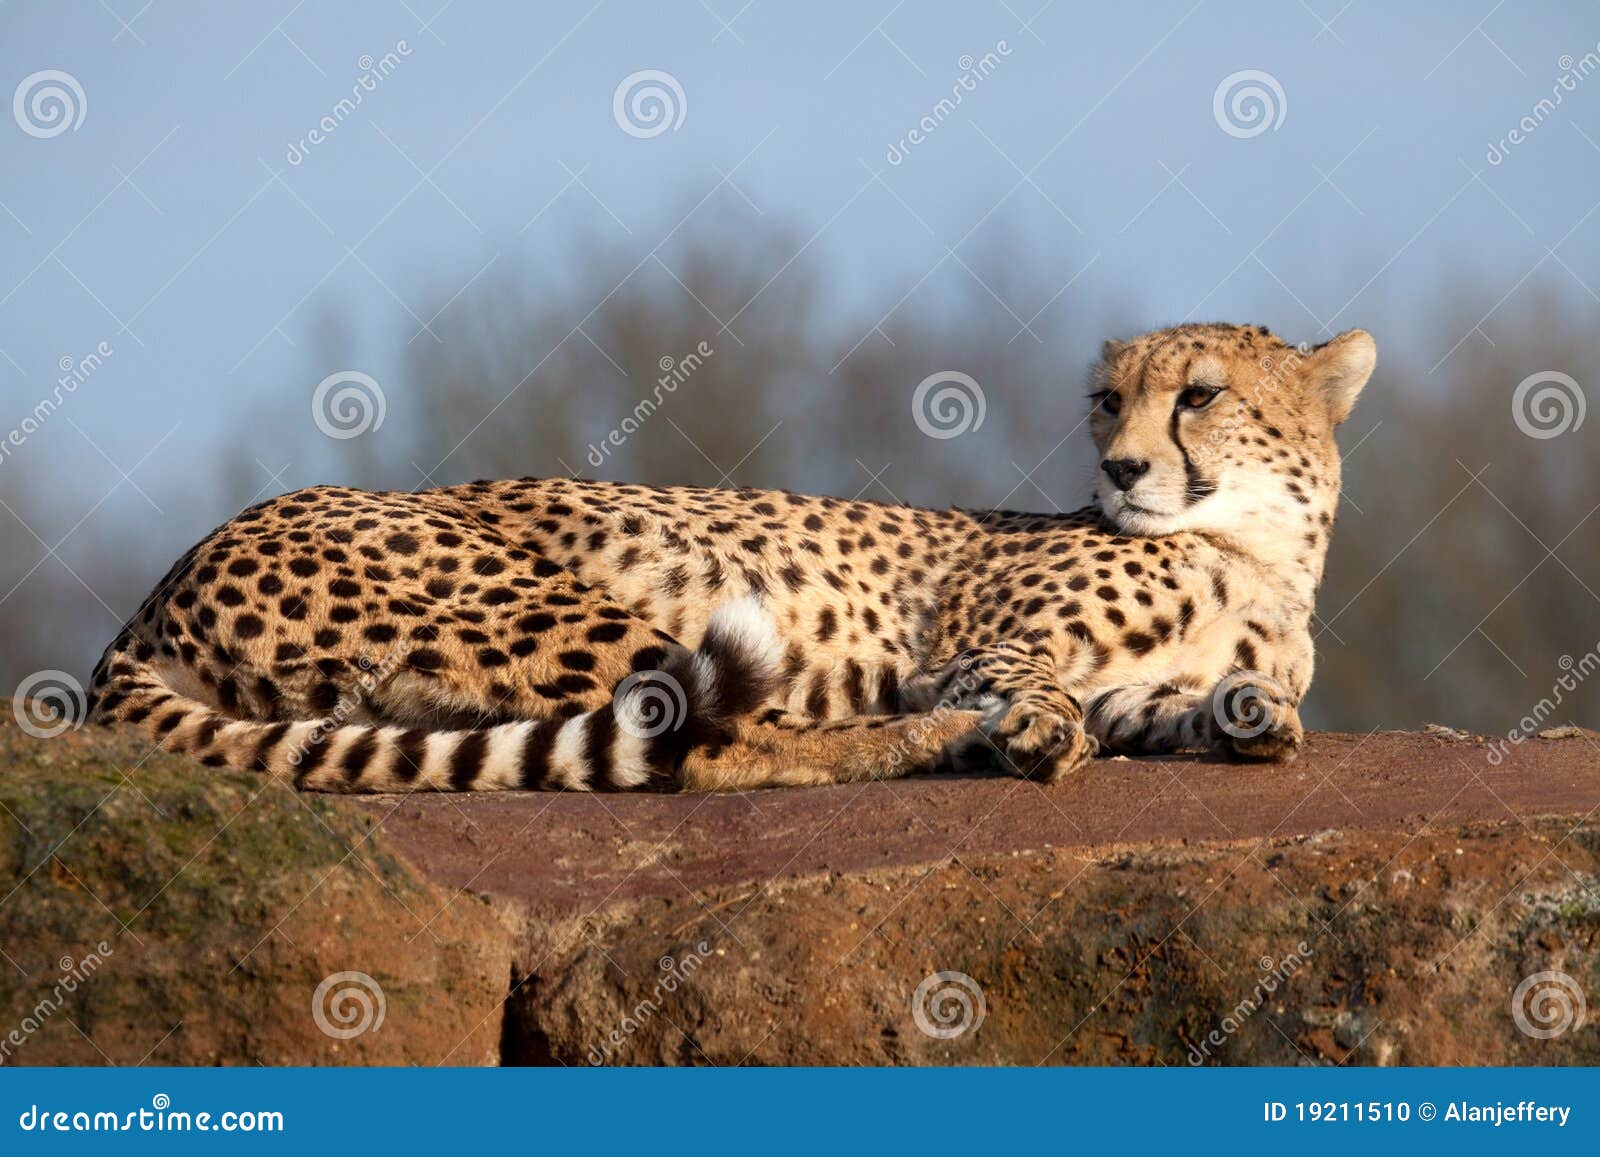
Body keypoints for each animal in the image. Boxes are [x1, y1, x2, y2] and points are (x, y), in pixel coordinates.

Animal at [88, 322, 1376, 794]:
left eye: (1198, 394)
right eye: (1108, 400)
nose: (1120, 468)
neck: (1258, 548)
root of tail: (150, 592)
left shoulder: (1140, 684)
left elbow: (1181, 703)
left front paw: (1249, 719)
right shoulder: (978, 643)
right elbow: (1032, 687)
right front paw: (1022, 733)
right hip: (557, 602)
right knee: (709, 744)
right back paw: (926, 740)